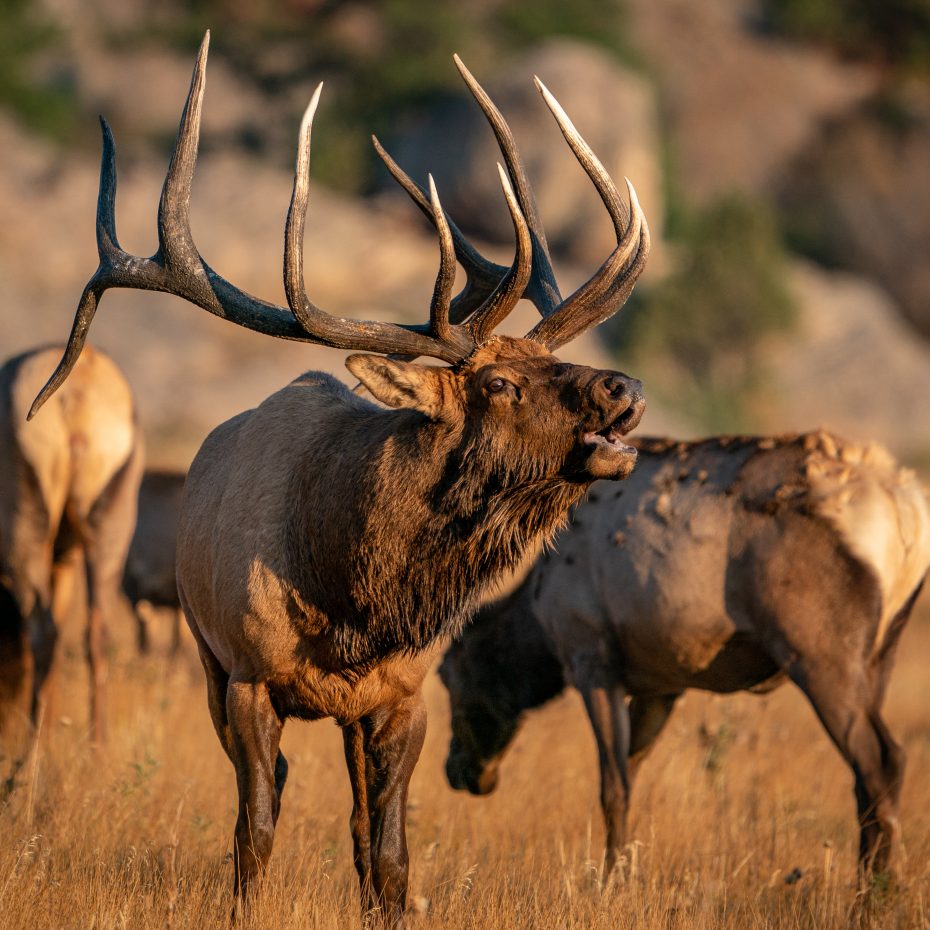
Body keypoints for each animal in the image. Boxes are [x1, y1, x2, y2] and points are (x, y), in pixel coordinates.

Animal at [0, 345, 144, 744]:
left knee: (43, 632)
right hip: (108, 529)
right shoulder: (64, 557)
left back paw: (32, 750)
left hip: (26, 530)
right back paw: (97, 747)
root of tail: (78, 391)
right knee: (96, 632)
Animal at [440, 431, 930, 886]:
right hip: (880, 654)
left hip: (820, 652)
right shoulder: (663, 685)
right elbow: (631, 773)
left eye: (448, 677)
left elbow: (612, 787)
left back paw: (871, 898)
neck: (537, 618)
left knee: (882, 759)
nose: (457, 770)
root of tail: (905, 509)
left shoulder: (590, 658)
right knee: (868, 779)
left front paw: (607, 881)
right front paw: (622, 873)